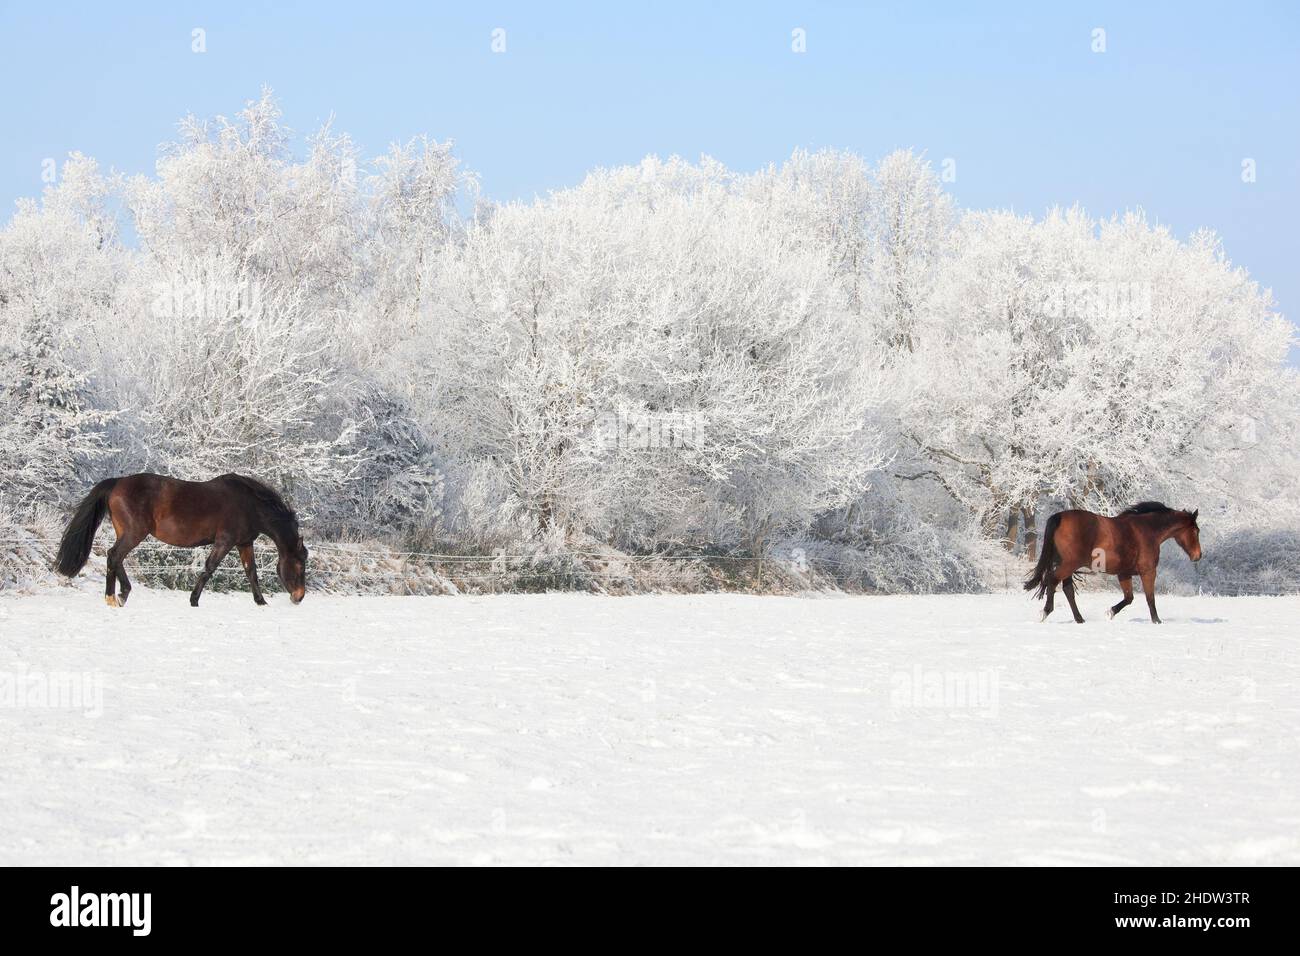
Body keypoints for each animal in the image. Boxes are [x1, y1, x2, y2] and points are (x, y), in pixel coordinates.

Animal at [53, 473, 308, 607]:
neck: (250, 504)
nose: (299, 597)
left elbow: (251, 572)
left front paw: (261, 601)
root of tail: (117, 482)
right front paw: (194, 600)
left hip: (126, 533)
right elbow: (209, 568)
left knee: (115, 559)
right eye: (299, 565)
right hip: (134, 533)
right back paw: (115, 597)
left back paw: (119, 595)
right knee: (114, 556)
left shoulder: (244, 543)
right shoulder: (224, 542)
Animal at [1024, 502, 1201, 624]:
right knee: (1053, 580)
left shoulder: (1124, 574)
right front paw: (1157, 621)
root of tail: (1059, 516)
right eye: (1196, 531)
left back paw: (1080, 619)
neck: (1147, 531)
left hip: (1066, 565)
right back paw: (1045, 612)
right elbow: (1150, 598)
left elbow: (1129, 598)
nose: (1198, 556)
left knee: (1067, 589)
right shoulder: (1148, 571)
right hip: (1069, 564)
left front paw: (1110, 612)